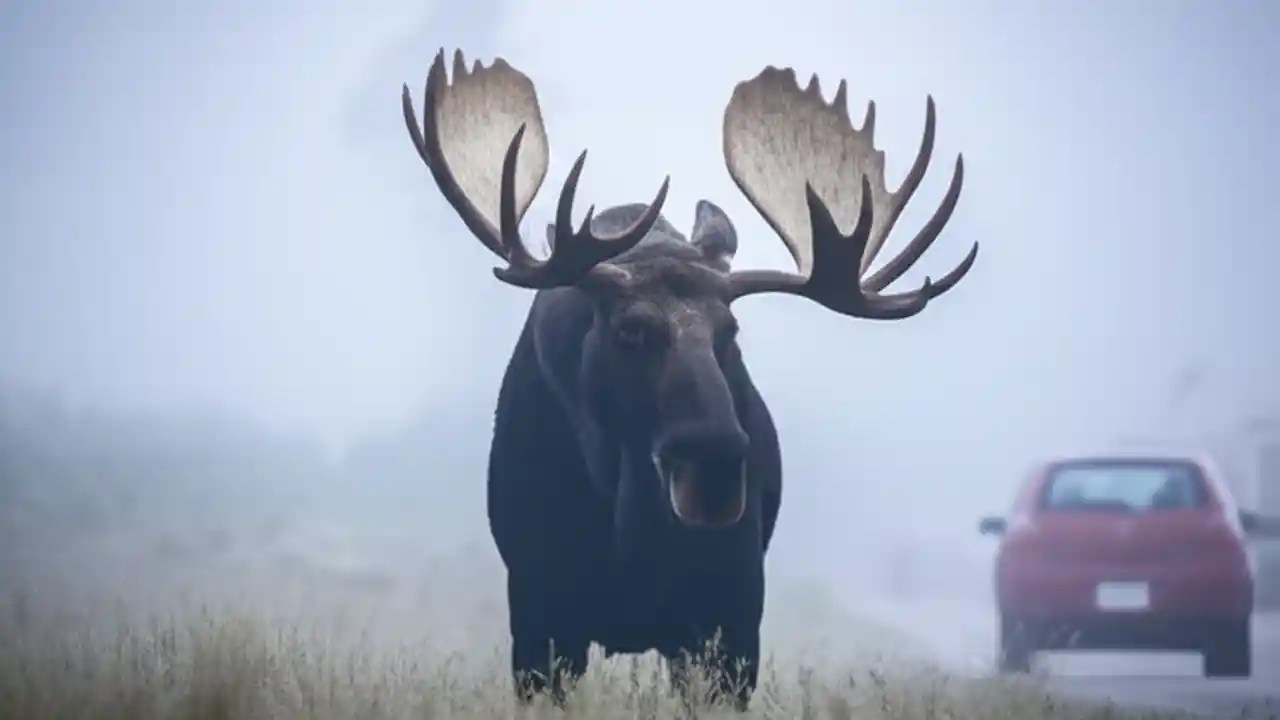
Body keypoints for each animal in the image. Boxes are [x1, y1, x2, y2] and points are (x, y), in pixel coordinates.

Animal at [400, 48, 977, 710]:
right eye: (629, 330)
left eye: (731, 331)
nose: (717, 466)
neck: (626, 519)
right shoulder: (539, 609)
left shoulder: (731, 615)